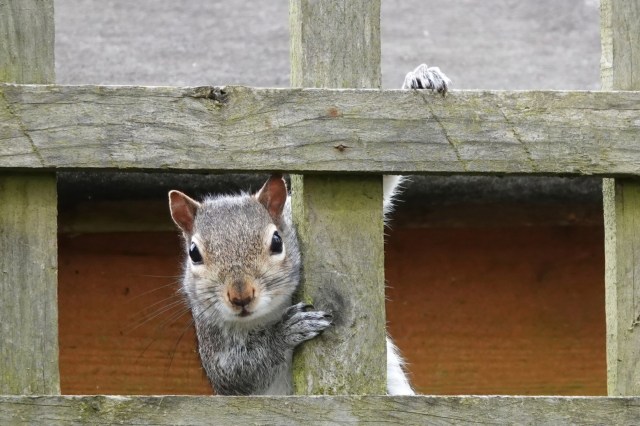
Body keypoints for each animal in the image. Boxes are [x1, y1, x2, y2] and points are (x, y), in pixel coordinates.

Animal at [168, 64, 450, 395]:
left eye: (277, 241)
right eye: (194, 254)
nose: (240, 295)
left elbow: (379, 186)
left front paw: (421, 80)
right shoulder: (215, 348)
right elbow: (239, 372)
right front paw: (285, 332)